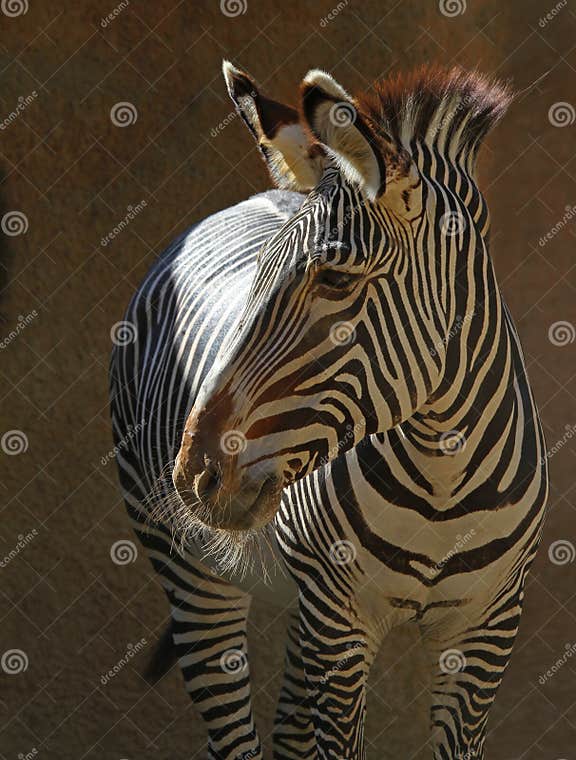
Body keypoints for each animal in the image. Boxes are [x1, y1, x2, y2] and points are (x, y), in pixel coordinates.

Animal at [110, 60, 548, 760]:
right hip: (192, 573)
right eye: (257, 280)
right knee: (232, 734)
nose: (192, 475)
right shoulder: (339, 623)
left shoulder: (487, 624)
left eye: (336, 280)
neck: (443, 477)